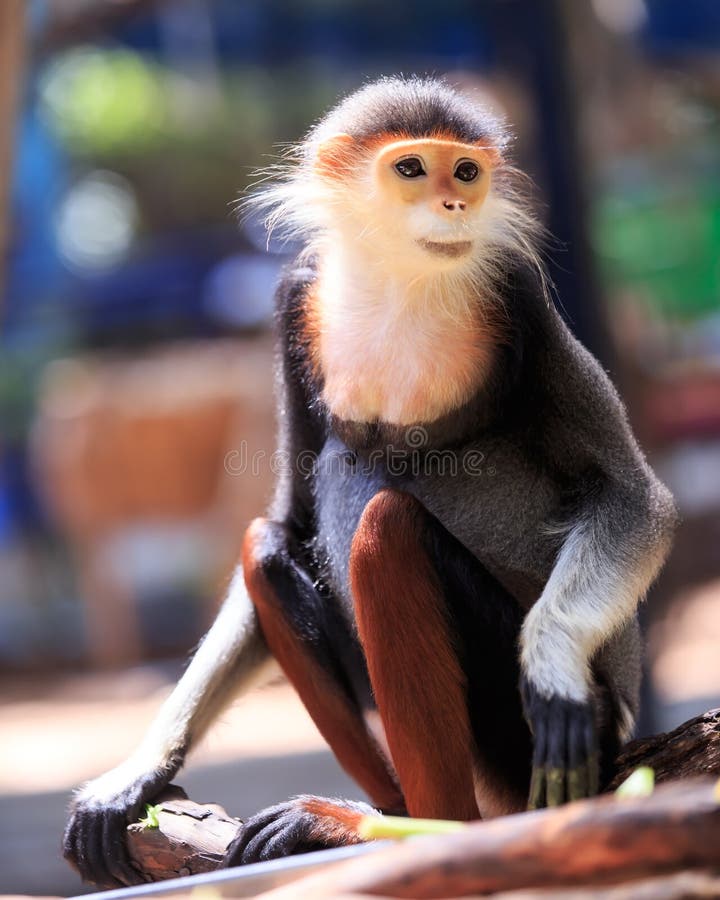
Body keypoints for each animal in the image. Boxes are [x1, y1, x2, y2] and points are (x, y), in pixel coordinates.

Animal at [63, 76, 677, 887]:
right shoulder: (292, 298)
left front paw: (551, 666)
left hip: (532, 745)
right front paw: (140, 769)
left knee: (390, 530)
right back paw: (375, 818)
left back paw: (424, 829)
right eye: (413, 169)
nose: (455, 204)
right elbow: (287, 519)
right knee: (265, 544)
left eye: (467, 172)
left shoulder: (522, 298)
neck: (400, 281)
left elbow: (633, 498)